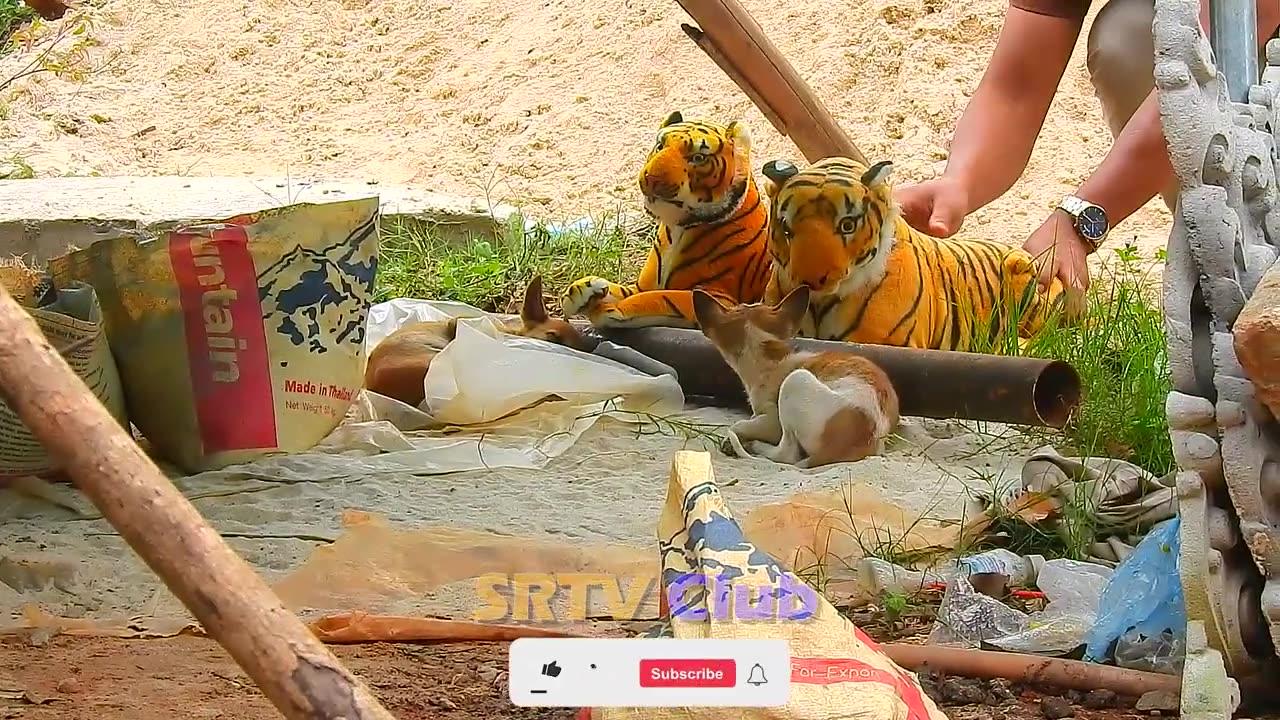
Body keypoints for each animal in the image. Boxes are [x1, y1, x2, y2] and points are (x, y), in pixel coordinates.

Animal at [560, 111, 772, 329]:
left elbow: (661, 297)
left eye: (698, 158)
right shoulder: (642, 286)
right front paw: (582, 289)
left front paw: (609, 308)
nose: (650, 178)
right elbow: (623, 290)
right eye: (660, 146)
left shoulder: (720, 300)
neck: (679, 227)